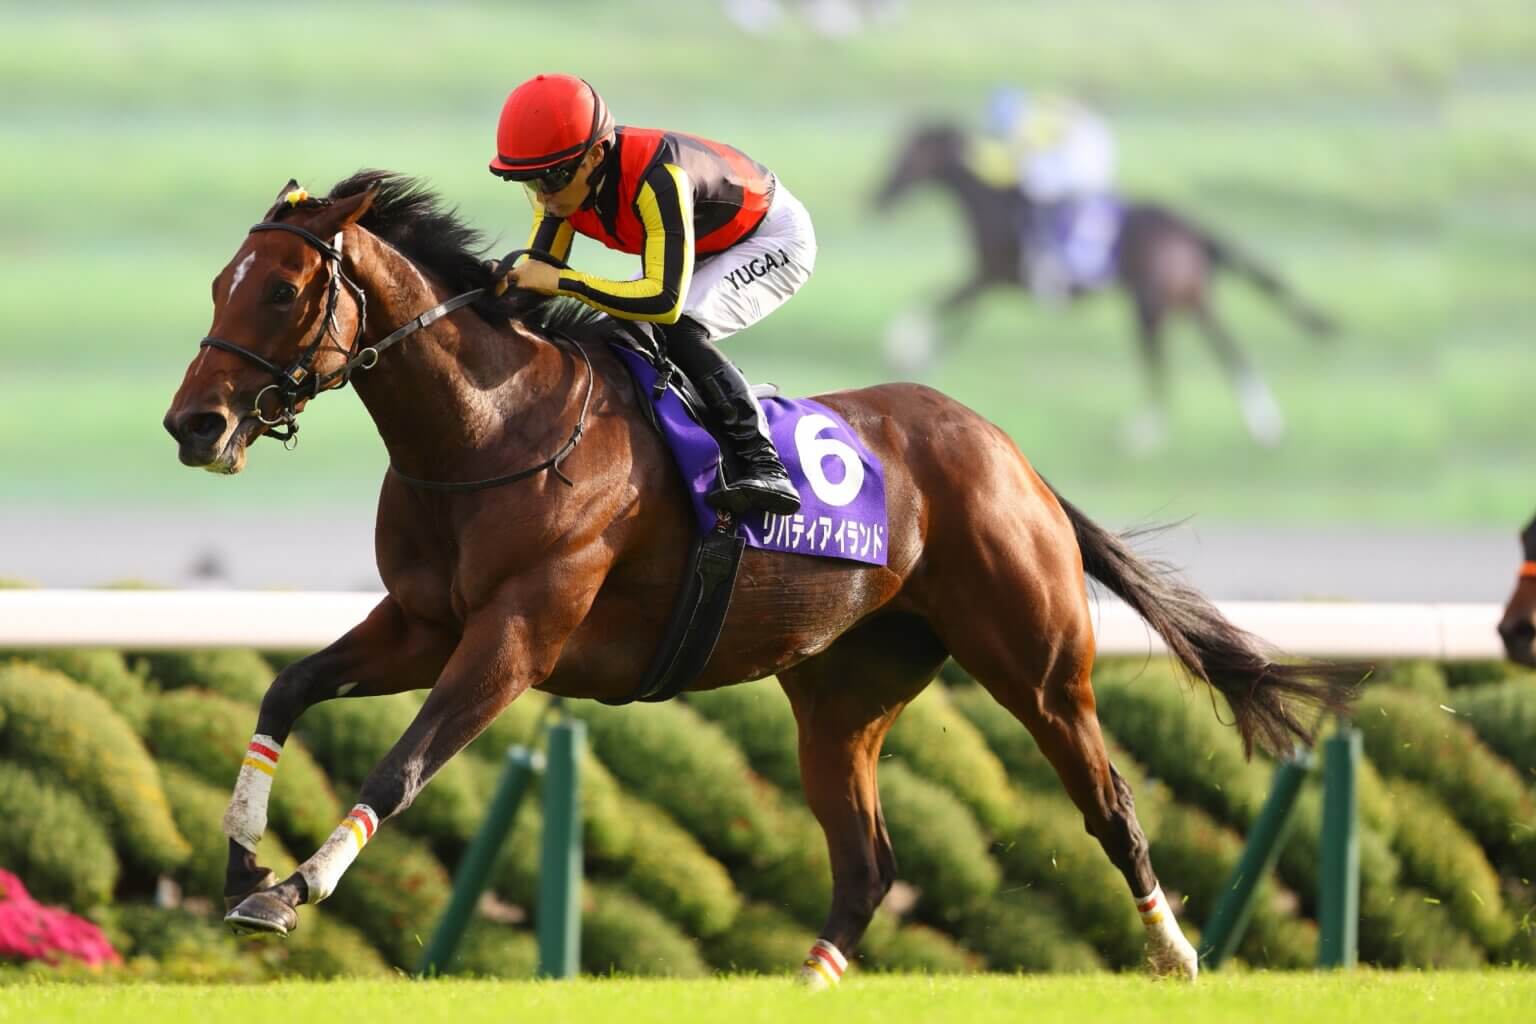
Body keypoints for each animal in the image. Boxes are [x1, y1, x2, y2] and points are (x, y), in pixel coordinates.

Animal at [163, 170, 1359, 983]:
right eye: (219, 282)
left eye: (283, 289)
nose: (194, 425)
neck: (491, 427)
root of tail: (1011, 455)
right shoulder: (421, 621)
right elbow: (287, 688)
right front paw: (240, 860)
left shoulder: (515, 635)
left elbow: (405, 764)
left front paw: (295, 888)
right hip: (842, 693)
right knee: (867, 863)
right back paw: (804, 982)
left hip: (1038, 666)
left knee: (1109, 805)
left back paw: (1176, 954)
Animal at [873, 122, 1337, 451]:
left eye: (906, 156)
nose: (875, 197)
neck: (995, 198)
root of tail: (1190, 228)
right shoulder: (989, 283)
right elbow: (945, 317)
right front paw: (921, 364)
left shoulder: (989, 278)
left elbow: (931, 306)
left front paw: (903, 348)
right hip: (1192, 299)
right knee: (1230, 350)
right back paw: (1266, 426)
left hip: (1149, 306)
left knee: (1162, 362)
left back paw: (1144, 434)